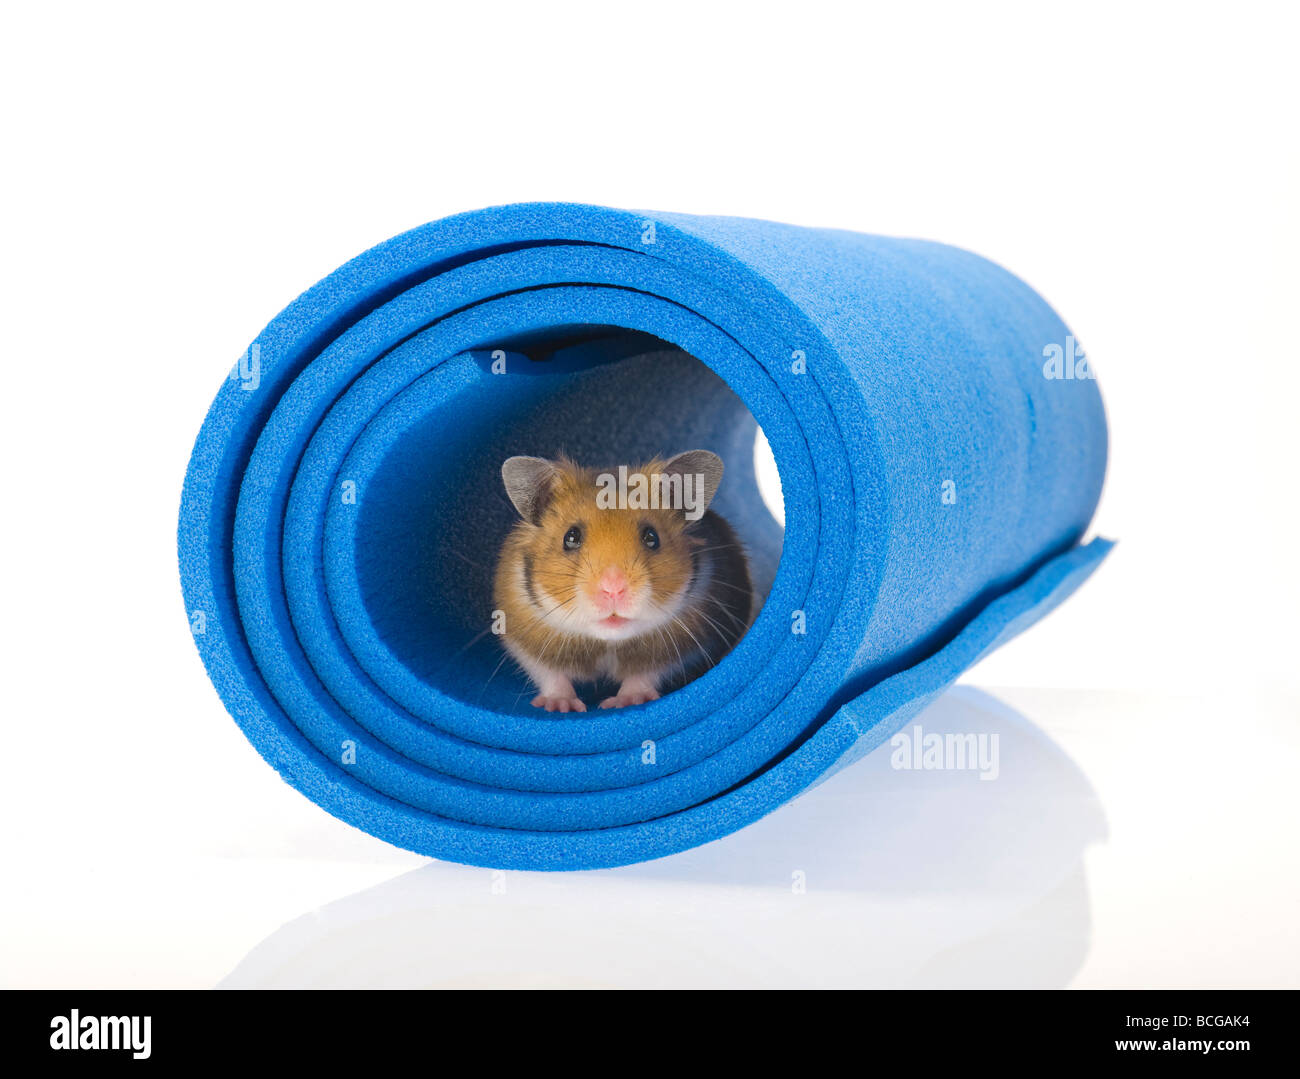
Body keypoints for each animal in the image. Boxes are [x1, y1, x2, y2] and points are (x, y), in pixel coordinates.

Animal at [493, 450, 754, 712]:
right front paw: (559, 706)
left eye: (652, 537)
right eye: (571, 537)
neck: (608, 641)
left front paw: (625, 702)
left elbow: (645, 673)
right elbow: (549, 673)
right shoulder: (521, 634)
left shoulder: (688, 642)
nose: (613, 589)